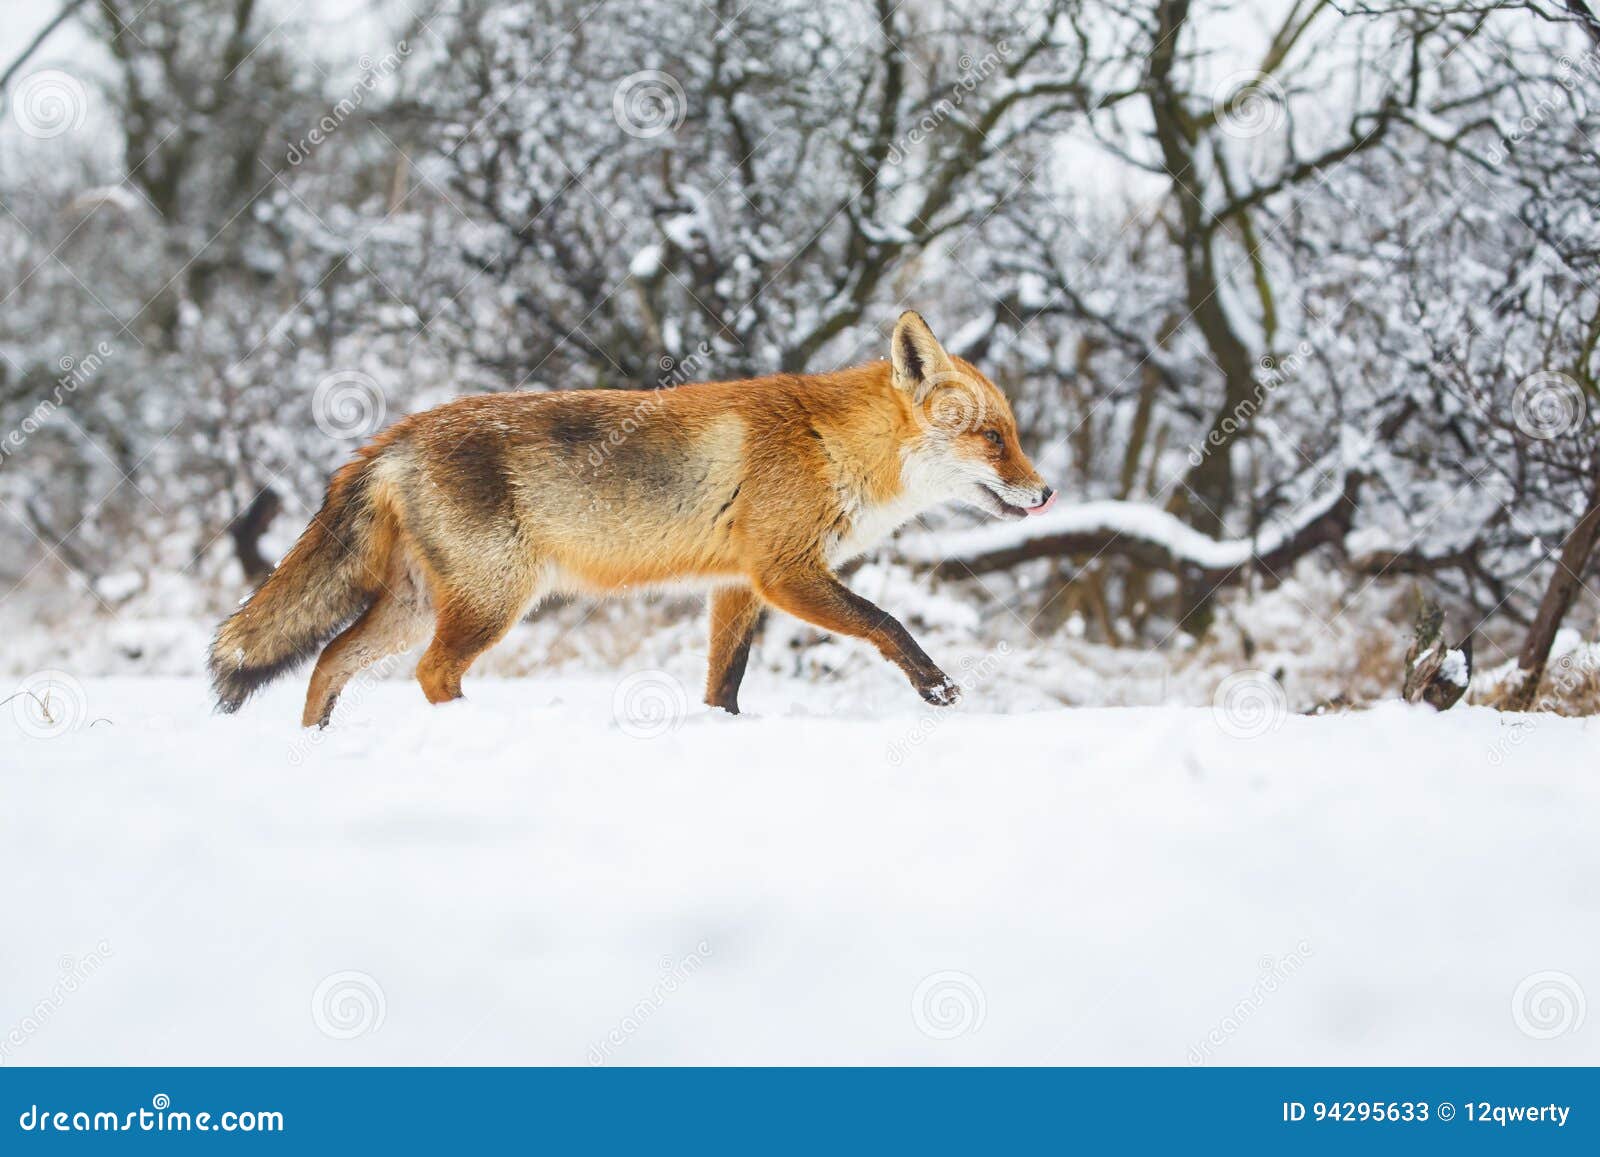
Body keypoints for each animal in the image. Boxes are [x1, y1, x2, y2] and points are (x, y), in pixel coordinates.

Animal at [208, 312, 1056, 726]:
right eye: (993, 437)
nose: (1045, 493)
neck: (832, 444)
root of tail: (393, 434)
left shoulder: (738, 584)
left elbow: (724, 683)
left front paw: (723, 734)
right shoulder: (786, 573)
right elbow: (888, 622)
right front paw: (935, 687)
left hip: (419, 604)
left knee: (328, 660)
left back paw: (315, 746)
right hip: (493, 601)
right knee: (428, 672)